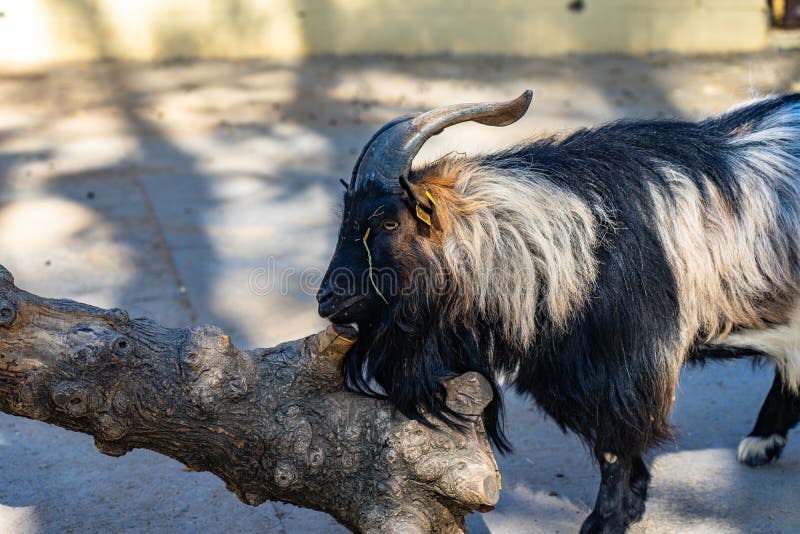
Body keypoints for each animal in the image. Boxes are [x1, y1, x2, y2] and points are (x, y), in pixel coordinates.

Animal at [316, 90, 800, 532]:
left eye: (388, 222)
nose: (326, 298)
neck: (580, 242)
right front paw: (631, 504)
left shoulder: (622, 370)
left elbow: (614, 447)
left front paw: (605, 521)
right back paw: (762, 443)